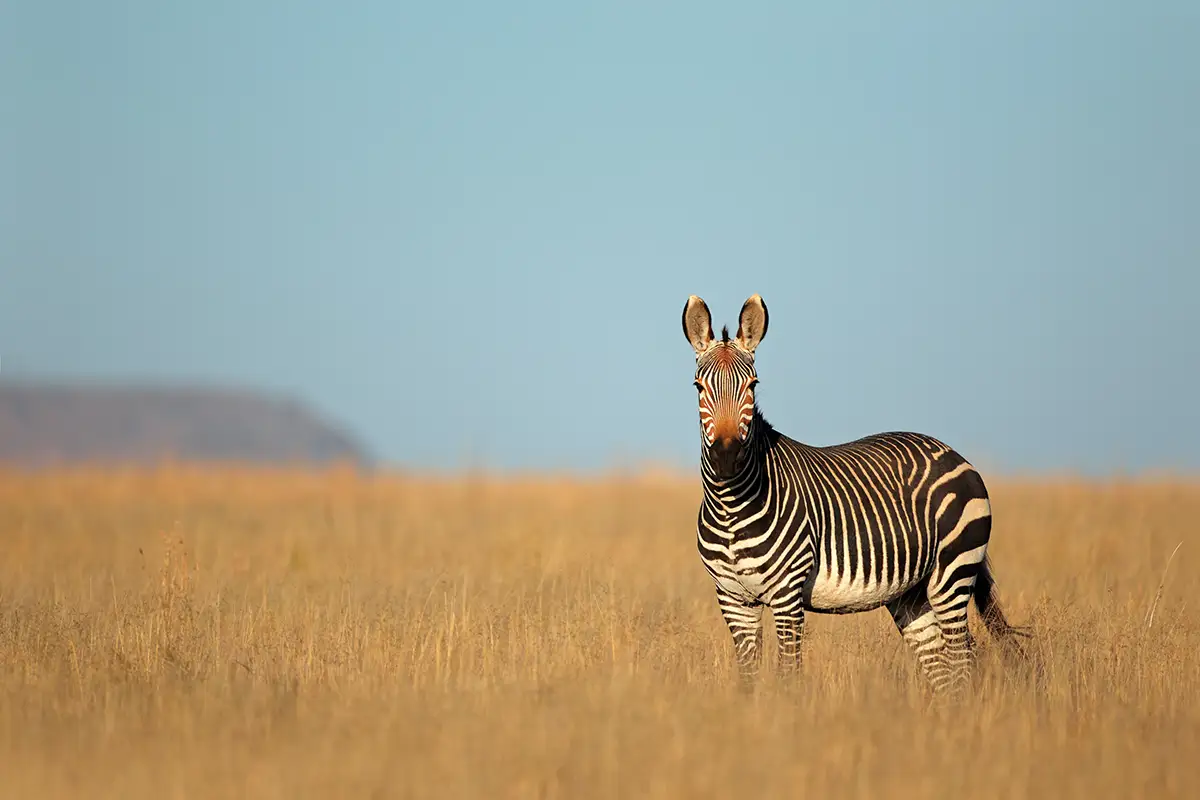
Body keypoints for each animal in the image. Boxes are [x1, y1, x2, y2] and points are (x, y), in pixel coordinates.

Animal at [682, 293, 1024, 697]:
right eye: (698, 387)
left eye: (752, 385)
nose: (726, 457)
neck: (731, 506)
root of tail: (951, 451)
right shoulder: (734, 600)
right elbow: (748, 679)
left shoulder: (787, 595)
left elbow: (789, 675)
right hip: (911, 593)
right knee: (941, 667)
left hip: (952, 573)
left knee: (962, 659)